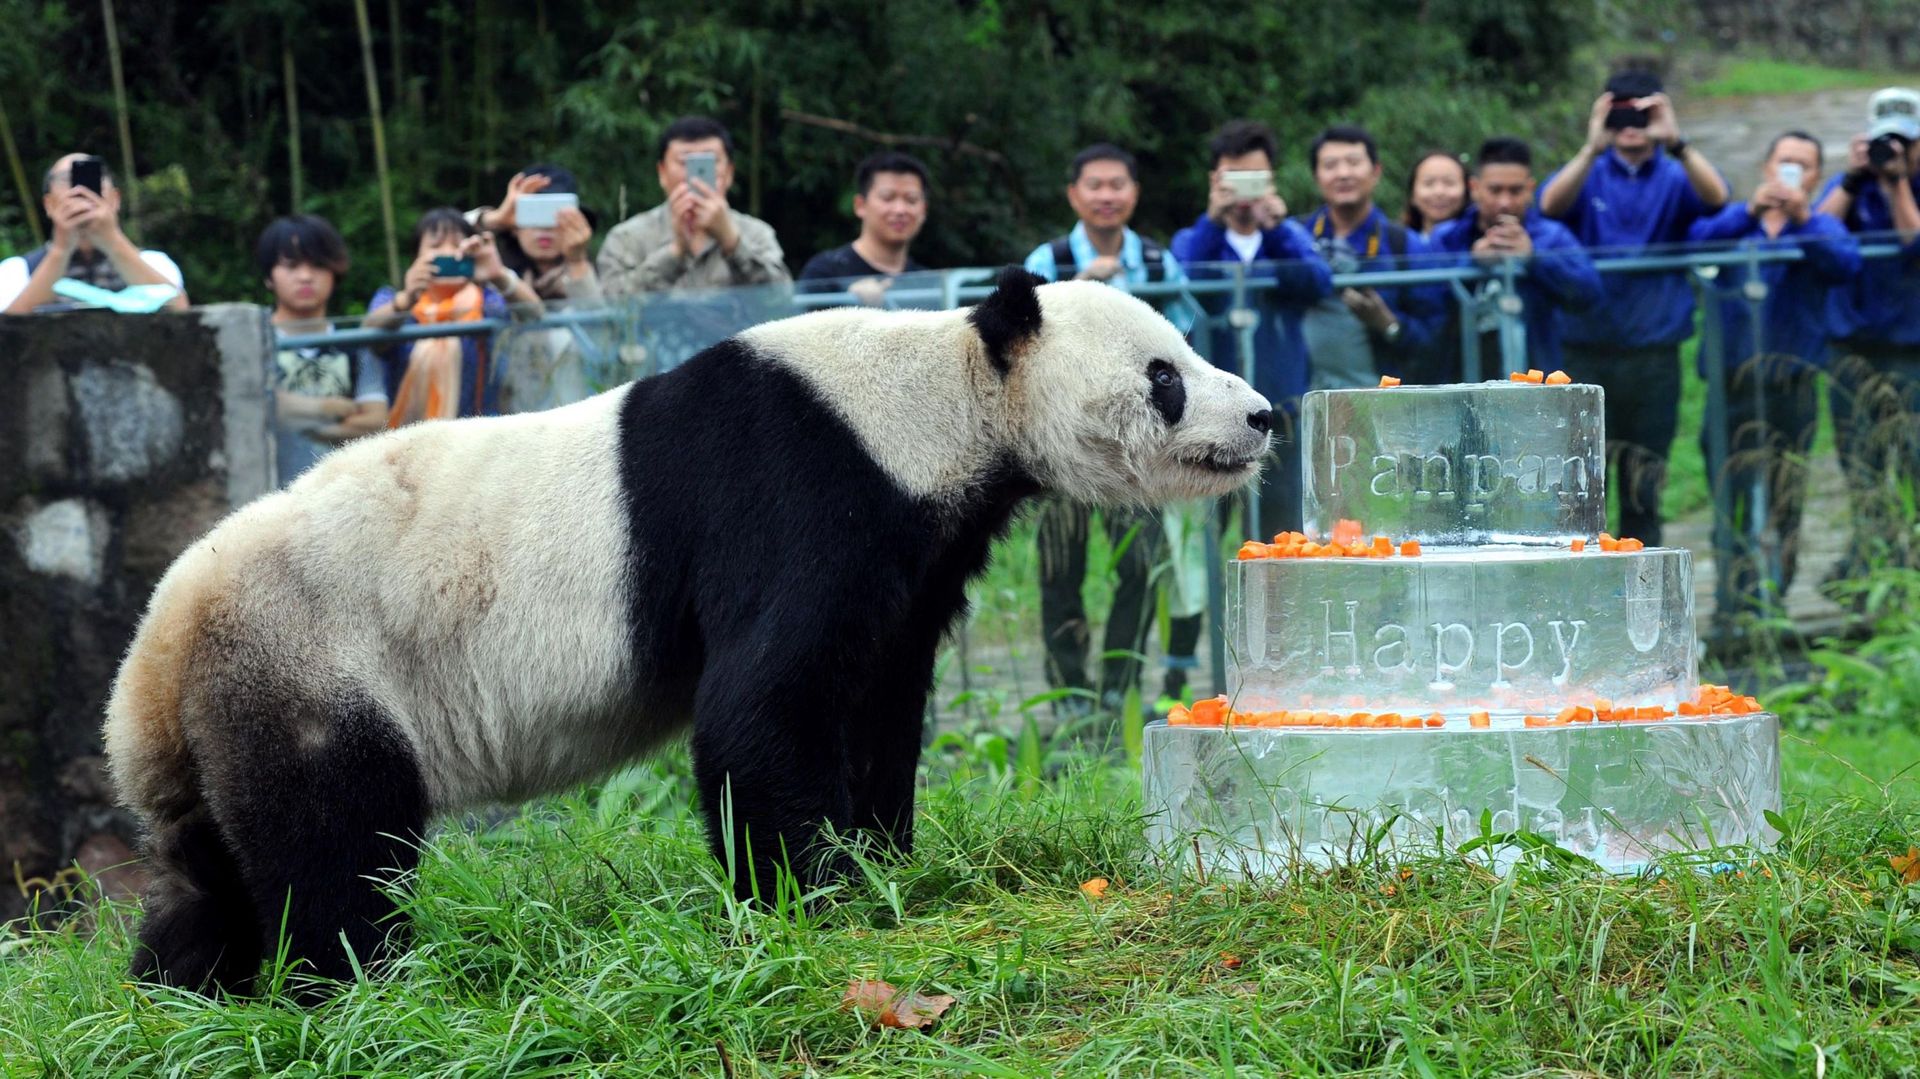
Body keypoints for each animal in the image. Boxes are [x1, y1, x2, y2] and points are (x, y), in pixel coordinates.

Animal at [103, 266, 1273, 996]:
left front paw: (882, 857)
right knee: (335, 844)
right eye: (1165, 374)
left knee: (212, 872)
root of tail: (154, 652)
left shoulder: (913, 550)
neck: (942, 394)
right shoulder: (800, 485)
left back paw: (186, 995)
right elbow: (763, 703)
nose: (1261, 416)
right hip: (316, 661)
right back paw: (358, 984)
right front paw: (813, 896)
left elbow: (876, 697)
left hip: (228, 709)